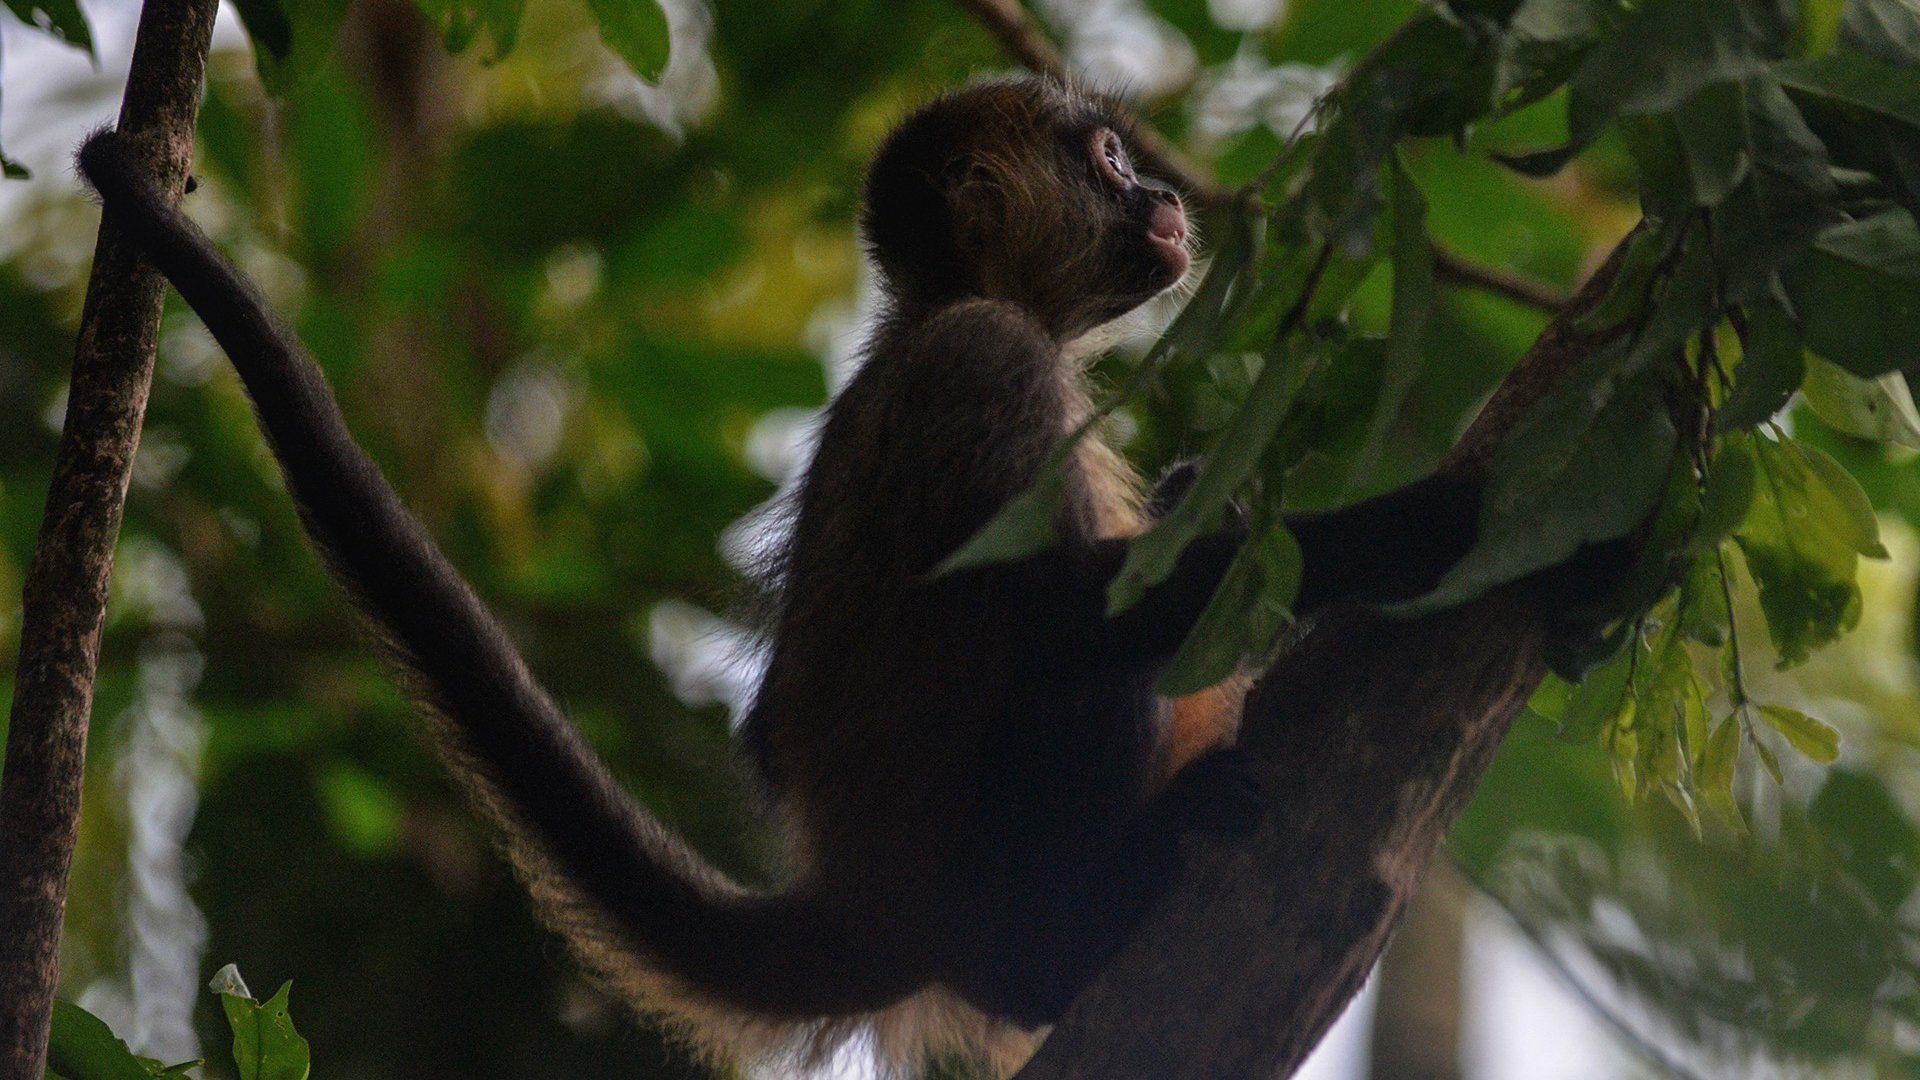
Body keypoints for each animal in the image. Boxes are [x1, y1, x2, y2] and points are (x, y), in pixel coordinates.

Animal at [77, 76, 1483, 1075]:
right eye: (1108, 161)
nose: (1167, 202)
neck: (937, 311)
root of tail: (870, 894)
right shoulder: (983, 359)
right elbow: (1070, 615)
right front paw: (1457, 525)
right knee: (1066, 672)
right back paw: (1072, 940)